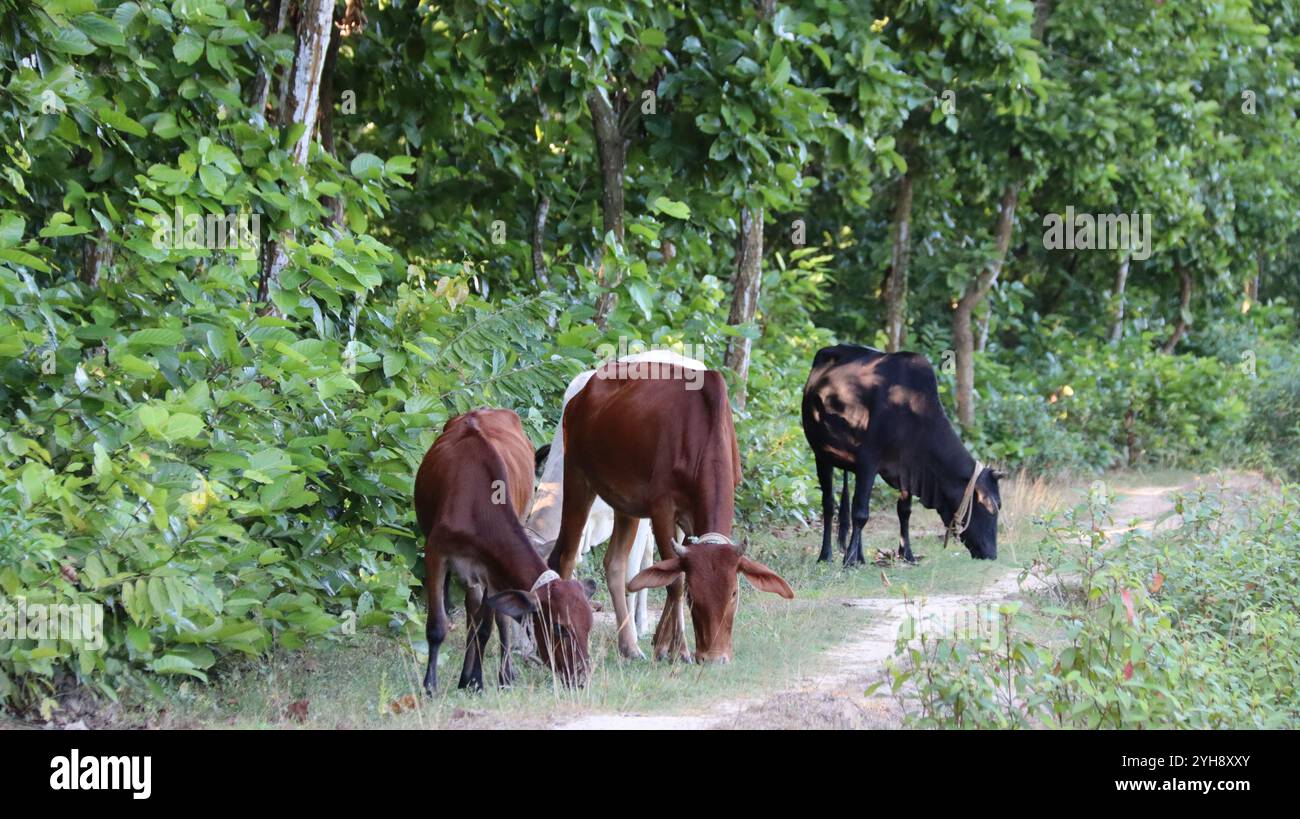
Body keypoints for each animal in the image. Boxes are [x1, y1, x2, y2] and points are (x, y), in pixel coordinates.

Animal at [414, 409, 596, 692]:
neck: (475, 505)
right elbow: (437, 626)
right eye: (559, 627)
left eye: (589, 626)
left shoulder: (493, 569)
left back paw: (500, 675)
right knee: (473, 608)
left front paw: (477, 680)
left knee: (493, 618)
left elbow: (487, 626)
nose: (580, 678)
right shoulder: (435, 553)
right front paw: (431, 686)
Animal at [550, 362, 794, 664]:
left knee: (615, 564)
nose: (714, 657)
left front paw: (663, 645)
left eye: (734, 593)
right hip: (577, 477)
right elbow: (674, 580)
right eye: (692, 595)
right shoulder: (662, 508)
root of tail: (581, 394)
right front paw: (681, 650)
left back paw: (630, 646)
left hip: (625, 503)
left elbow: (671, 569)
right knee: (566, 558)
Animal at [801, 344, 1005, 566]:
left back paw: (861, 557)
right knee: (829, 504)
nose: (992, 554)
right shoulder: (868, 462)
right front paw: (848, 562)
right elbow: (860, 513)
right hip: (821, 454)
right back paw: (826, 555)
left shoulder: (908, 470)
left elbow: (904, 511)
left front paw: (907, 554)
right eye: (992, 508)